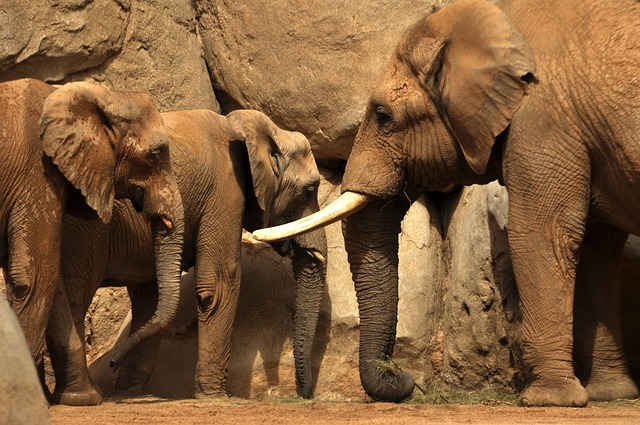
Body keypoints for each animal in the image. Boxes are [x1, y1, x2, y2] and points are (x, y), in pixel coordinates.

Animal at [47, 109, 327, 402]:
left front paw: (132, 394)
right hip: (81, 226)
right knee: (76, 296)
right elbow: (219, 282)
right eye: (308, 192)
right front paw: (214, 396)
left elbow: (150, 298)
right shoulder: (227, 189)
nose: (303, 395)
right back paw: (81, 396)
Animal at [253, 0, 640, 407]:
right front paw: (607, 395)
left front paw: (547, 401)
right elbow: (598, 245)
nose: (404, 376)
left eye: (383, 117)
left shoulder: (541, 119)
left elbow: (543, 233)